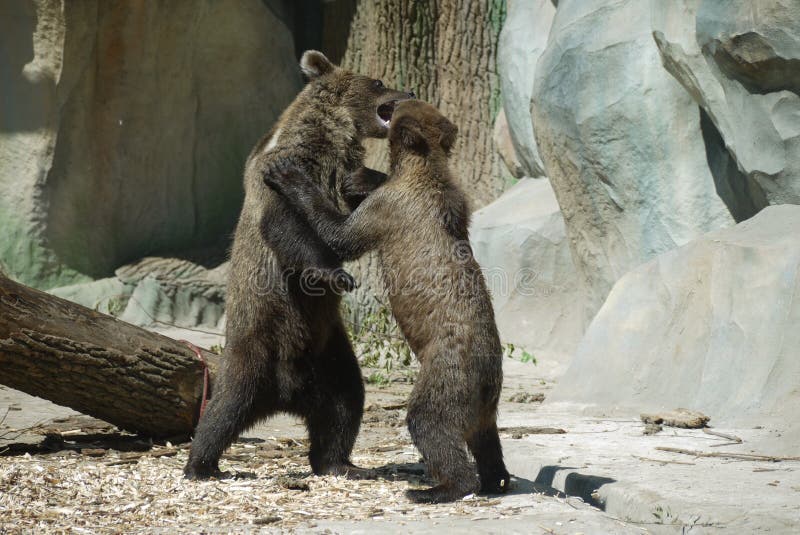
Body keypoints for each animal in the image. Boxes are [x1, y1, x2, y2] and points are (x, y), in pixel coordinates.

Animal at [183, 50, 413, 480]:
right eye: (377, 82)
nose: (408, 91)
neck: (326, 143)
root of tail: (285, 396)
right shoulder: (275, 179)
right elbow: (290, 227)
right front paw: (336, 274)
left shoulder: (338, 179)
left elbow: (352, 215)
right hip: (256, 342)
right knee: (224, 407)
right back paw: (202, 465)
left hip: (328, 353)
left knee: (345, 401)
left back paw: (340, 462)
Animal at [263, 99, 511, 503]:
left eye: (397, 108)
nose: (397, 97)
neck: (422, 170)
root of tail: (489, 380)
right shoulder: (453, 202)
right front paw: (359, 177)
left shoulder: (389, 210)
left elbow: (339, 234)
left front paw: (287, 174)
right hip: (483, 404)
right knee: (486, 439)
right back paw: (497, 479)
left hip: (448, 373)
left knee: (430, 422)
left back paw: (436, 488)